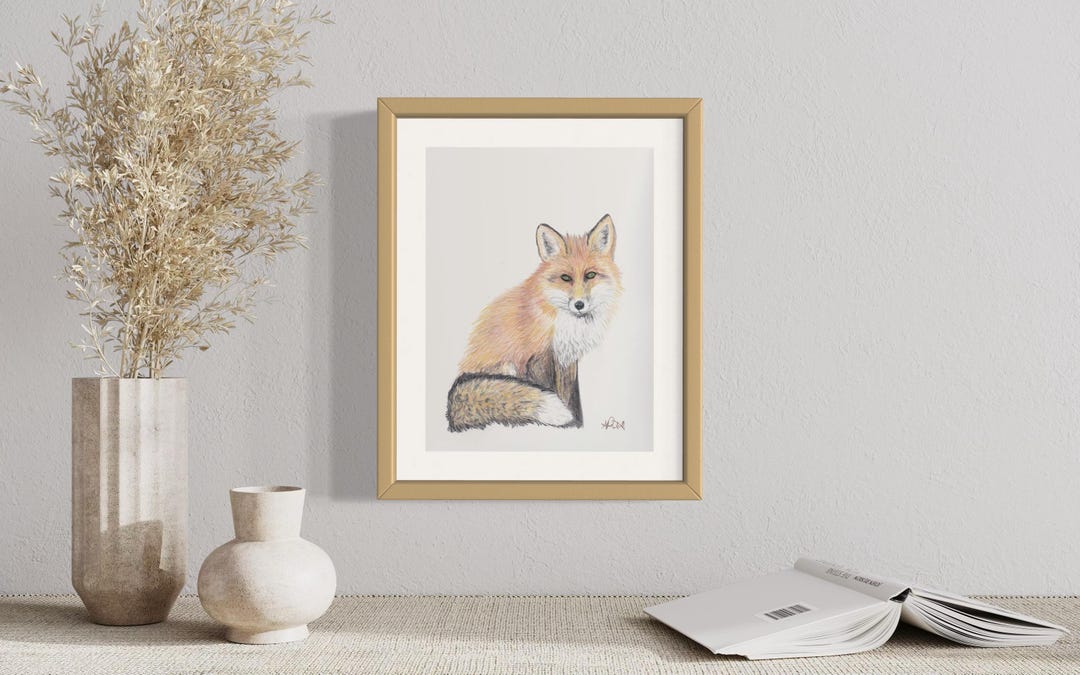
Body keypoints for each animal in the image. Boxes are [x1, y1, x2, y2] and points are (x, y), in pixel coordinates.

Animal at [446, 214, 622, 432]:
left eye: (590, 275)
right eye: (565, 278)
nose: (579, 305)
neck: (561, 319)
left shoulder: (567, 359)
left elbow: (570, 396)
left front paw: (577, 422)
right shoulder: (537, 356)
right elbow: (550, 389)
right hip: (507, 367)